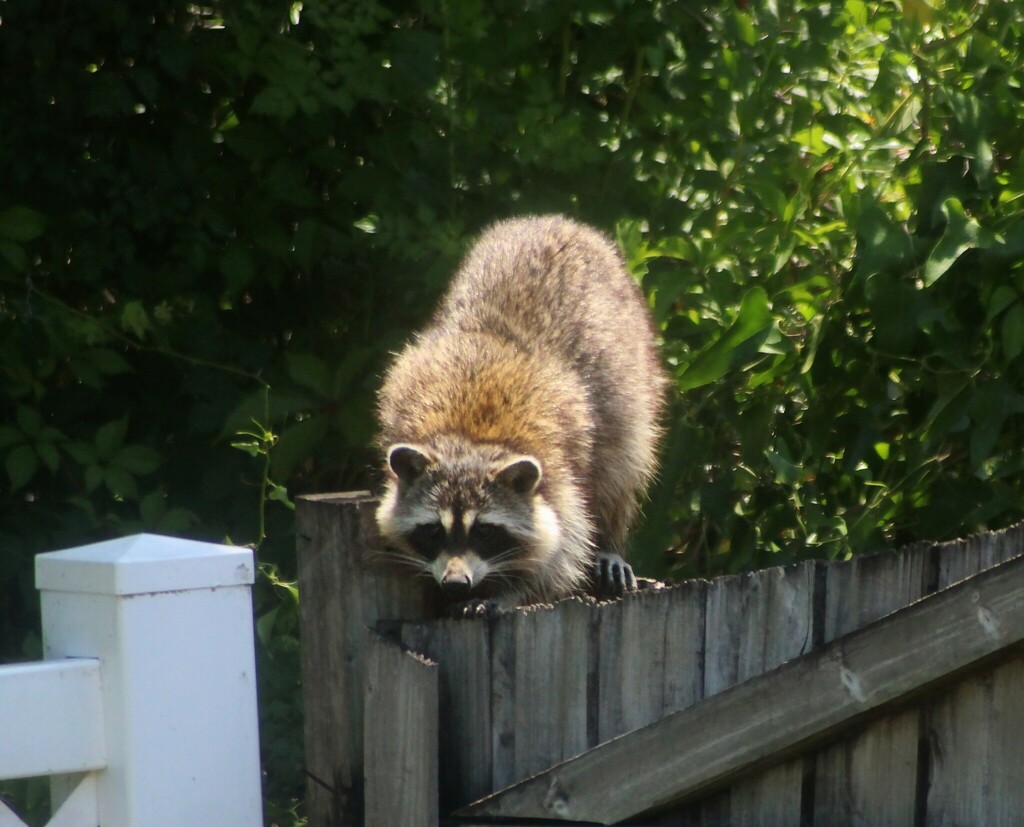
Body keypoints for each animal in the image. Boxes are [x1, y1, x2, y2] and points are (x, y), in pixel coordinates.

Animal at [375, 215, 666, 610]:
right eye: (433, 530)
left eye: (485, 532)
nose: (456, 584)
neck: (470, 437)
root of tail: (557, 221)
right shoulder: (400, 407)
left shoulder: (557, 473)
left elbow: (564, 549)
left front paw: (511, 592)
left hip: (634, 378)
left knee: (622, 461)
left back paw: (610, 540)